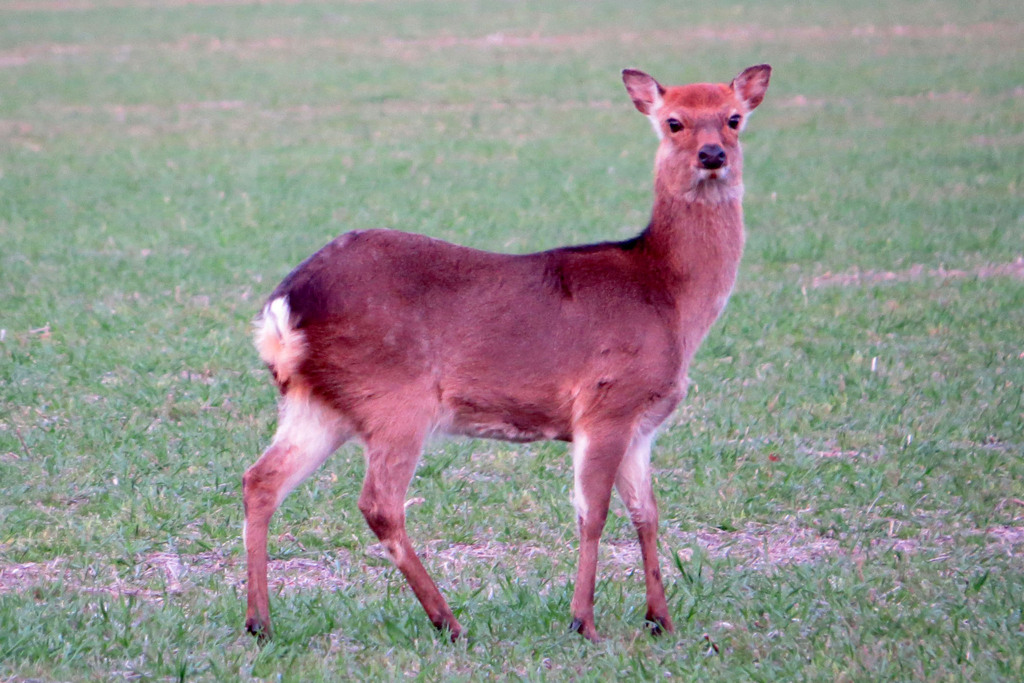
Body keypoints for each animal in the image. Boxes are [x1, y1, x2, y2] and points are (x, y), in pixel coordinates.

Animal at [243, 64, 771, 642]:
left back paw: (259, 621)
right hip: (395, 398)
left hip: (318, 405)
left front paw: (661, 620)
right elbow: (592, 513)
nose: (713, 155)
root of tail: (282, 310)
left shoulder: (643, 424)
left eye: (734, 118)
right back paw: (448, 620)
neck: (666, 296)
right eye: (673, 121)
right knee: (379, 503)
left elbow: (647, 514)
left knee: (261, 480)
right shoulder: (605, 403)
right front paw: (583, 622)